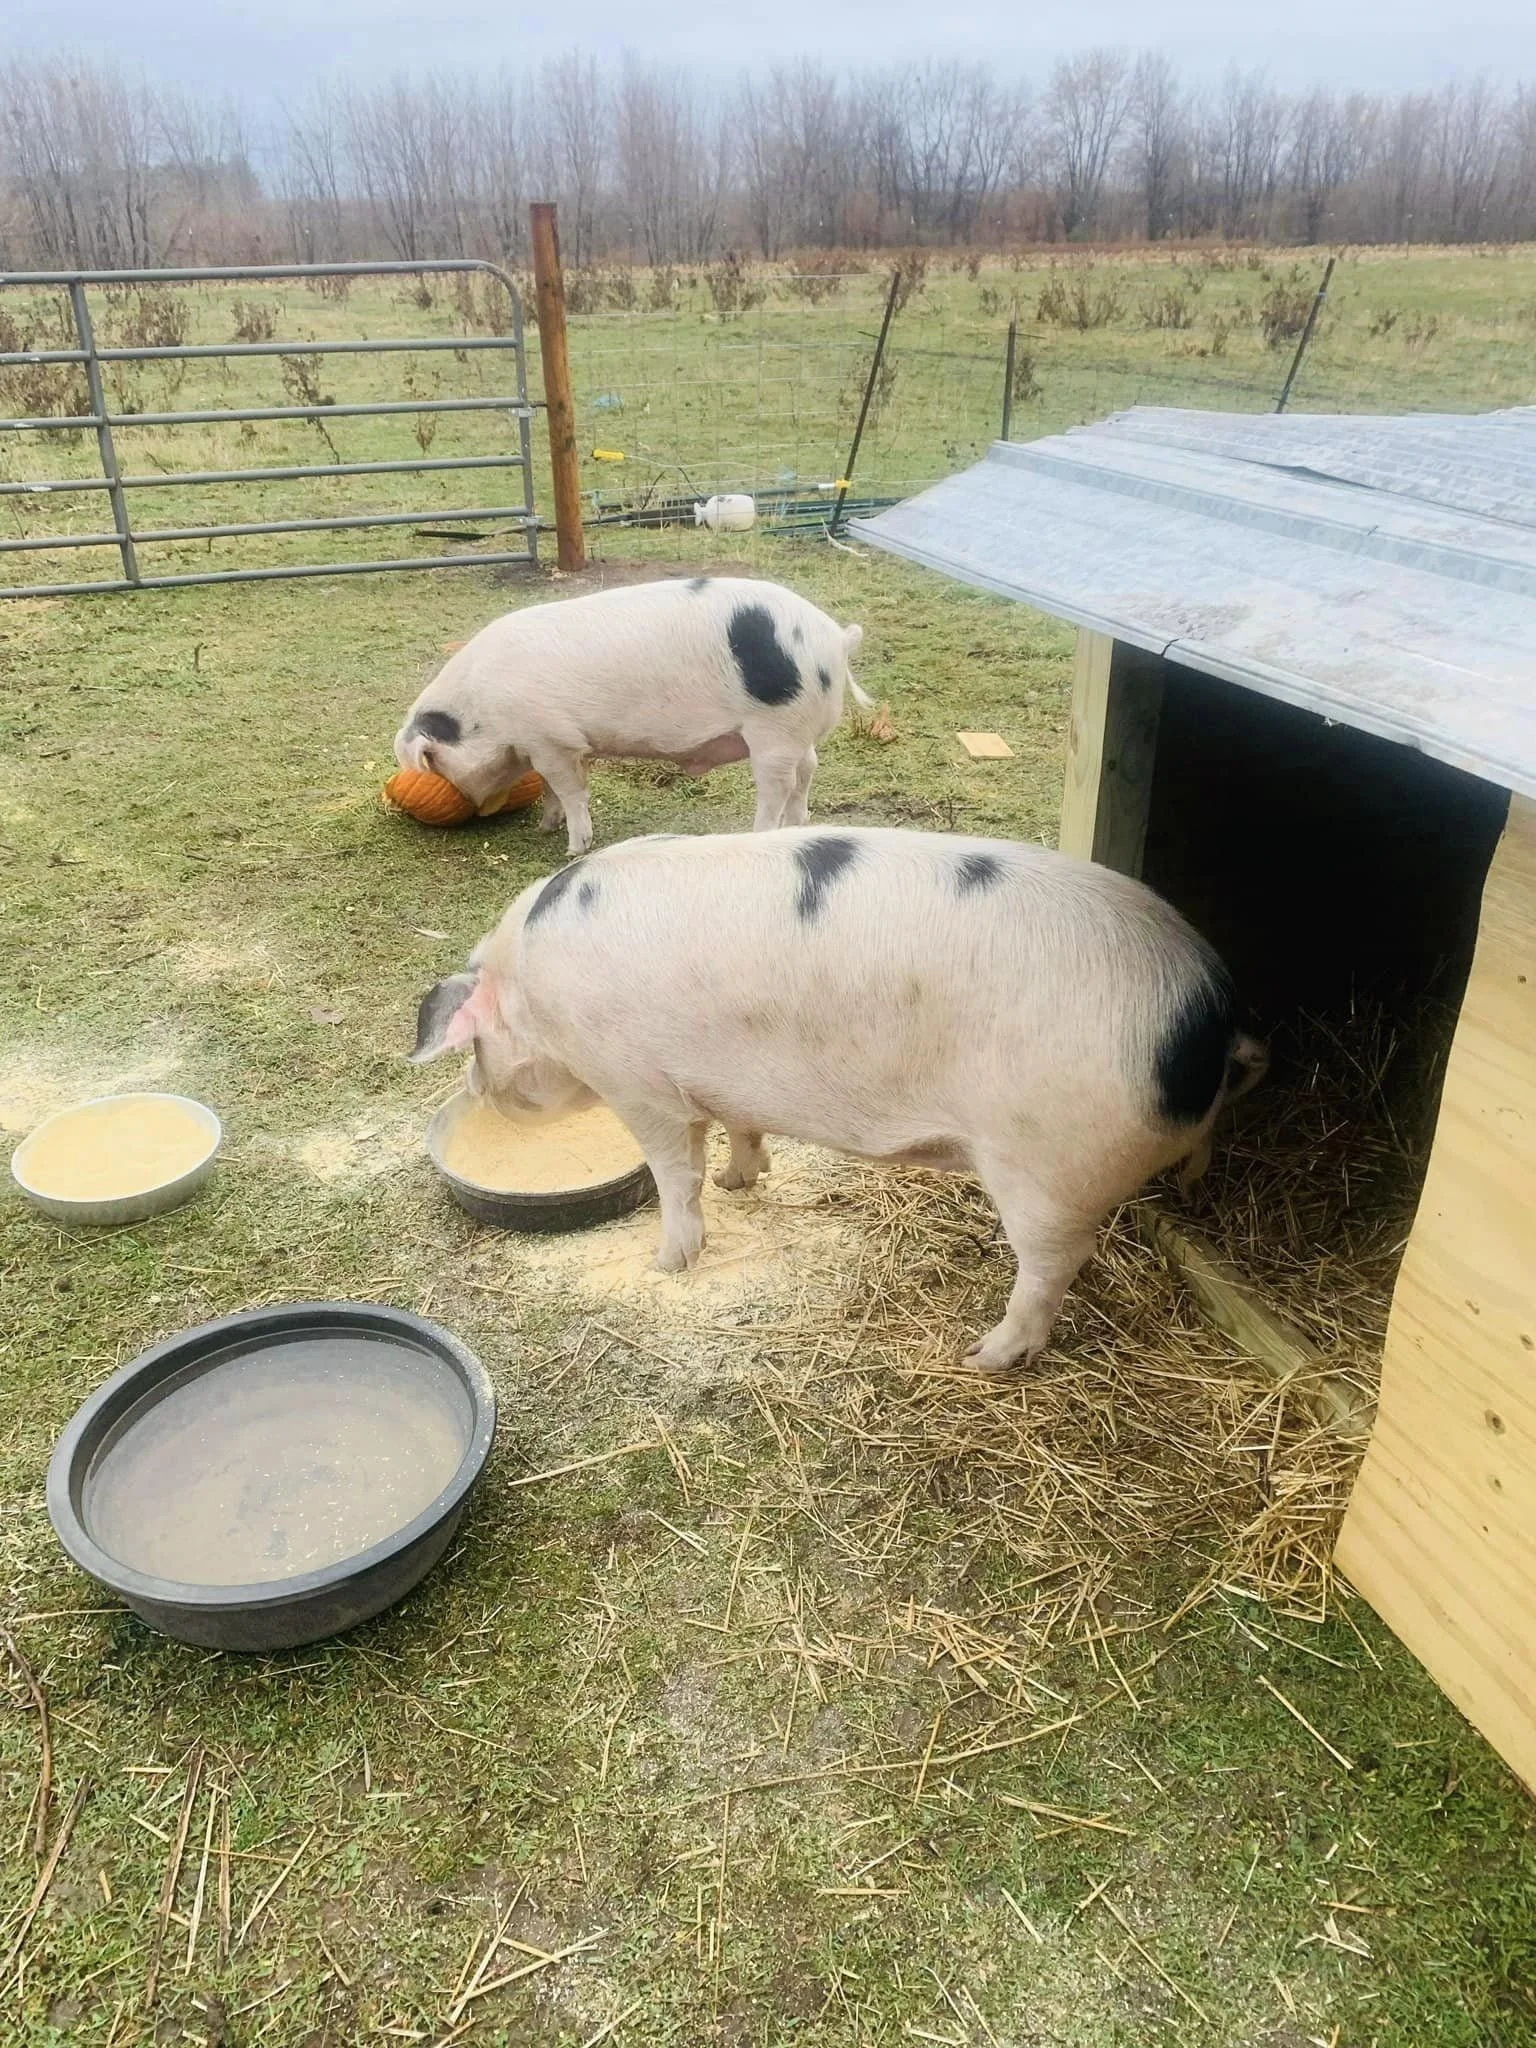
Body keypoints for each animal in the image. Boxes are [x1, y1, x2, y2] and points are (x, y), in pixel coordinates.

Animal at [393, 577, 869, 856]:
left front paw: (573, 848)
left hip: (773, 729)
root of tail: (836, 638)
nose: (477, 811)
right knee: (808, 770)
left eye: (434, 762)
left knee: (778, 786)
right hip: (797, 731)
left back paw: (759, 833)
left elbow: (571, 791)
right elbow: (551, 789)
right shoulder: (549, 746)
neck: (484, 707)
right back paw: (798, 823)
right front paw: (547, 828)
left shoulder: (552, 740)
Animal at [411, 827, 1266, 1371]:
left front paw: (666, 1263)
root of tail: (1206, 1014)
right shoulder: (723, 1078)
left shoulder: (639, 1085)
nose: (475, 1089)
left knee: (1055, 1264)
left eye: (476, 1048)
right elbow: (739, 1129)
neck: (531, 989)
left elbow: (673, 1174)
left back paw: (984, 1358)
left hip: (1045, 1167)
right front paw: (740, 1182)